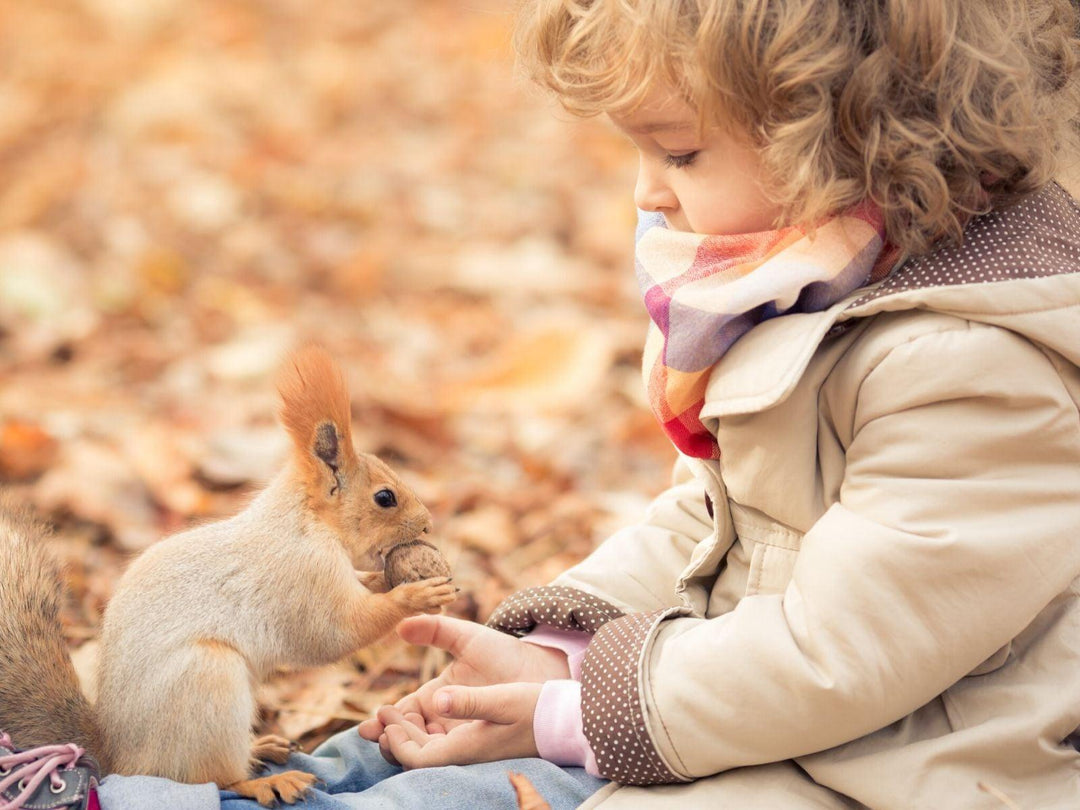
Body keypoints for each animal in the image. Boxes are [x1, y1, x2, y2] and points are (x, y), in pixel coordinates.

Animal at [0, 345, 457, 806]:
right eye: (385, 498)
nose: (427, 526)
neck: (306, 523)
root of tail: (118, 755)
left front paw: (390, 581)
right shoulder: (302, 577)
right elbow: (336, 632)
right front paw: (416, 595)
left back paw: (262, 748)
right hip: (208, 682)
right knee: (213, 778)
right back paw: (264, 781)